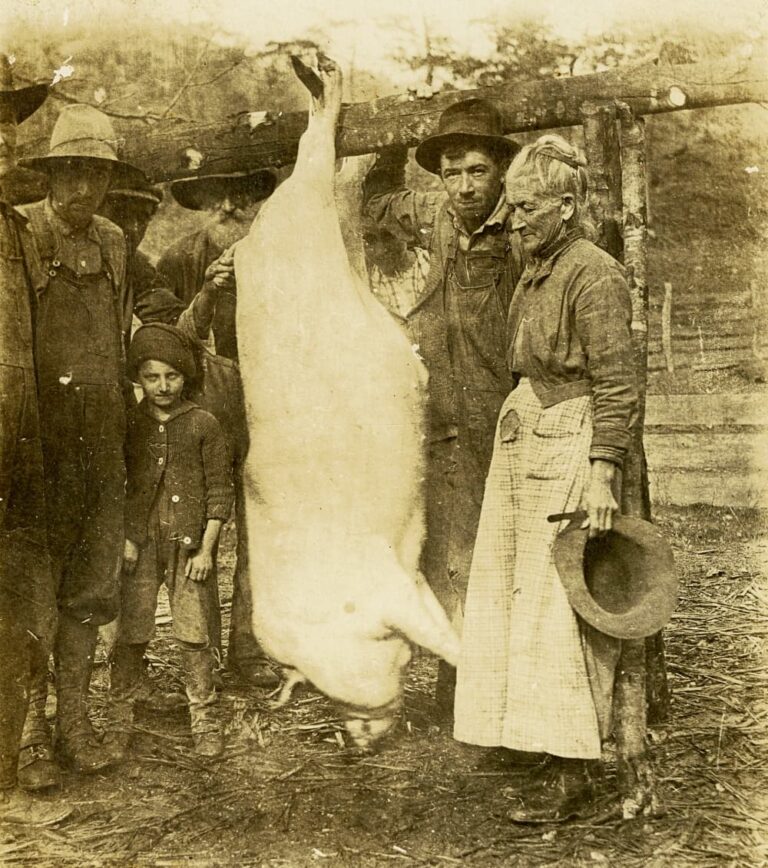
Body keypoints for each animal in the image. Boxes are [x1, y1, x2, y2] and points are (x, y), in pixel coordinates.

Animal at [234, 55, 460, 749]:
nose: (355, 736)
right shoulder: (406, 580)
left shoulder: (387, 588)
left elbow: (444, 636)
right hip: (333, 222)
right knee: (348, 176)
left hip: (303, 206)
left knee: (322, 155)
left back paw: (324, 79)